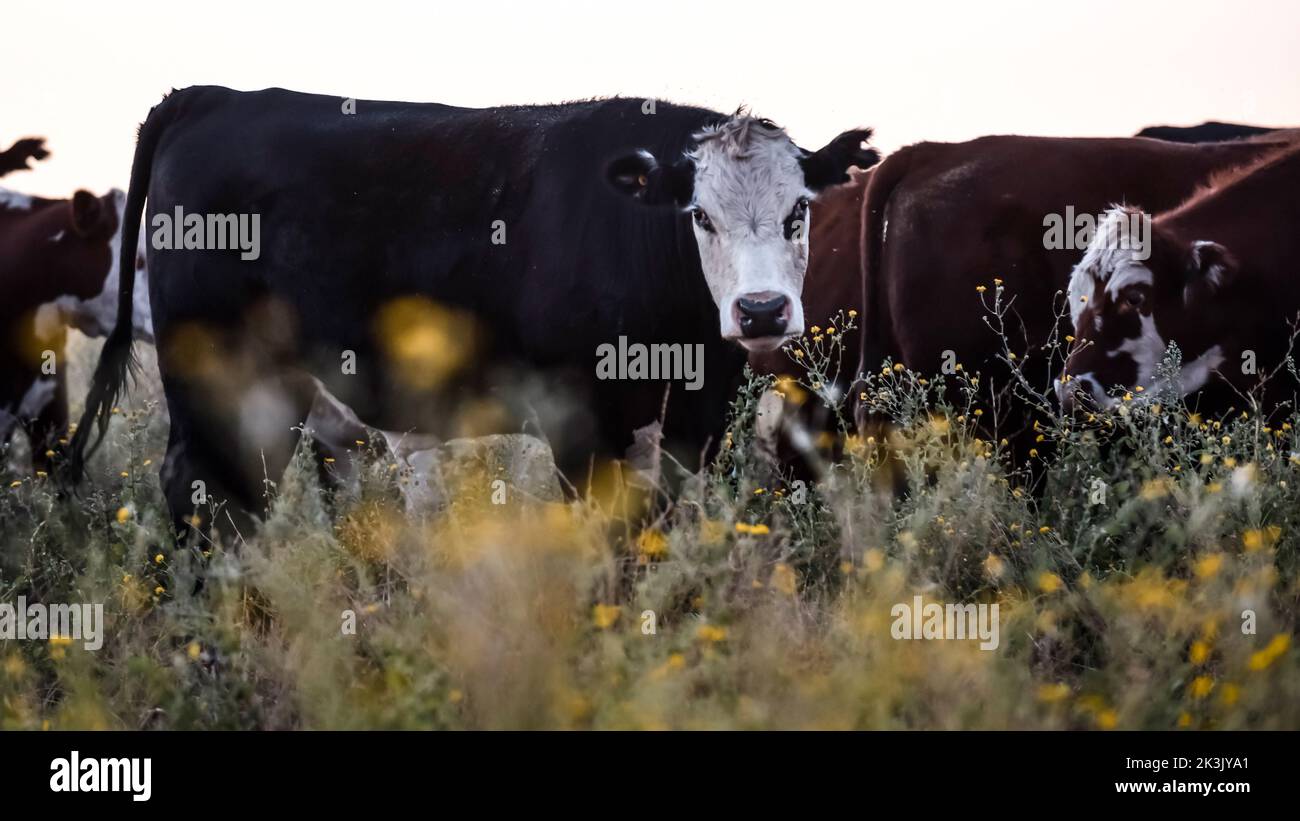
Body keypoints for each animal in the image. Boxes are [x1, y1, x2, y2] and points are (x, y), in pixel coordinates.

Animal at [68, 86, 876, 534]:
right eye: (700, 216)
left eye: (800, 211)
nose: (762, 311)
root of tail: (212, 95)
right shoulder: (581, 421)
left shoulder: (694, 422)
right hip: (223, 377)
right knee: (201, 491)